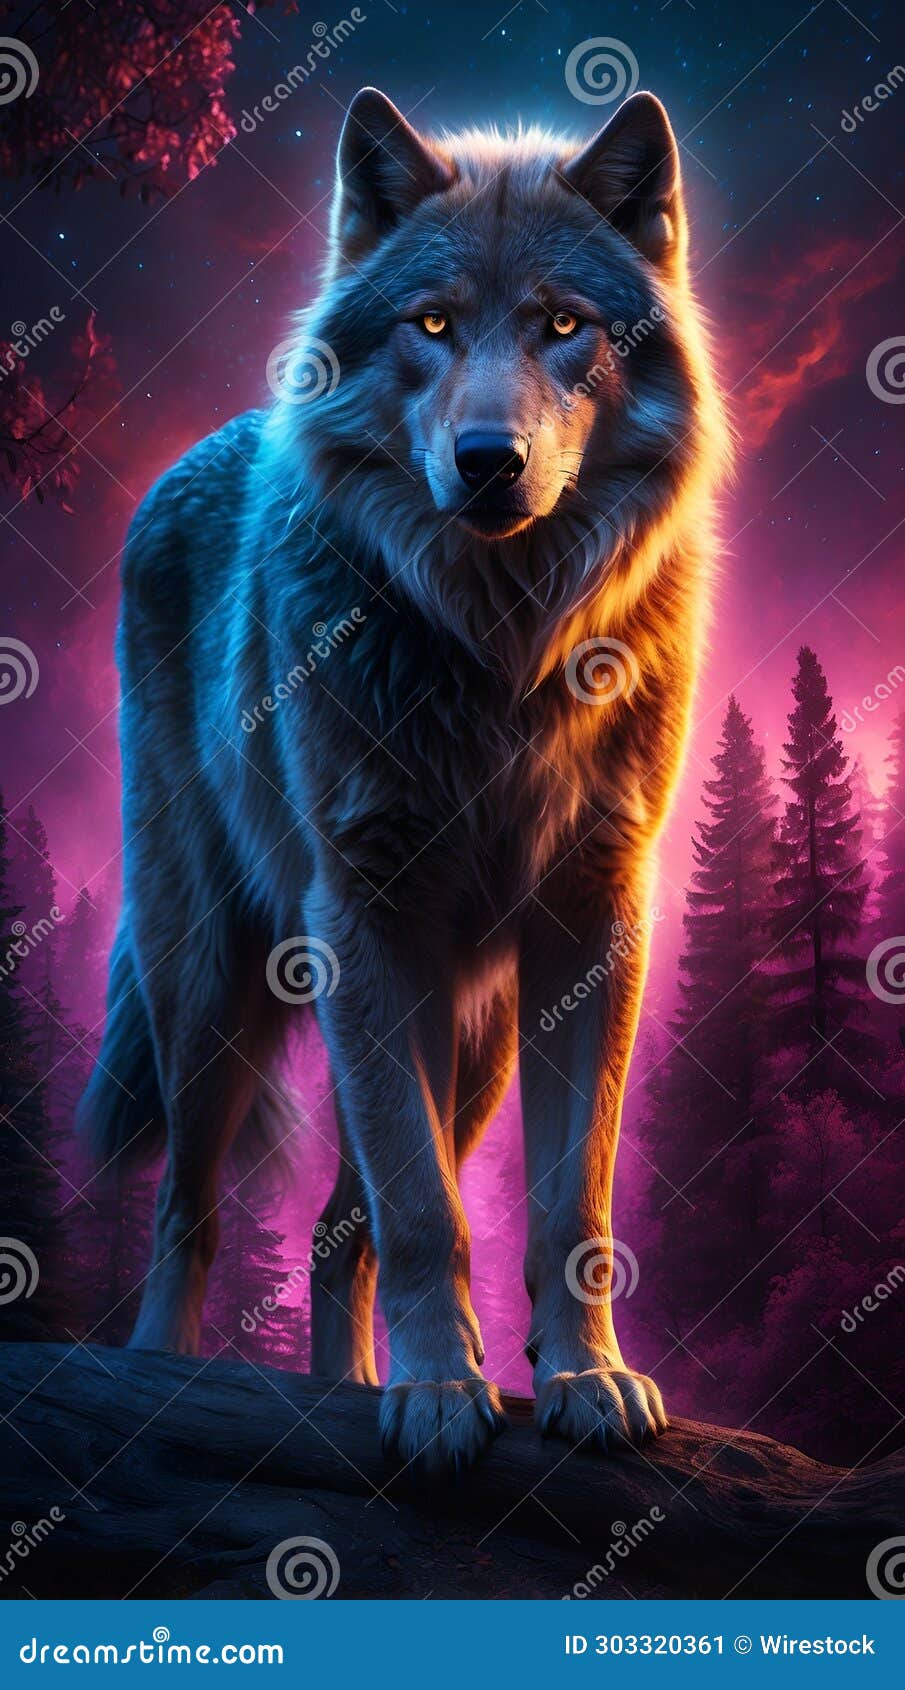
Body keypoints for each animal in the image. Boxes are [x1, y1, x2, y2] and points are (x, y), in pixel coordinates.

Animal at [80, 85, 728, 1474]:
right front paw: (437, 1394)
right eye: (431, 324)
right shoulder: (363, 912)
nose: (488, 459)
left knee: (342, 1232)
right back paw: (162, 1374)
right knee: (186, 1207)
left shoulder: (591, 921)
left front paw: (583, 1379)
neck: (496, 647)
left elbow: (566, 1205)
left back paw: (346, 1385)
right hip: (211, 984)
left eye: (560, 326)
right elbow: (428, 1210)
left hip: (467, 1038)